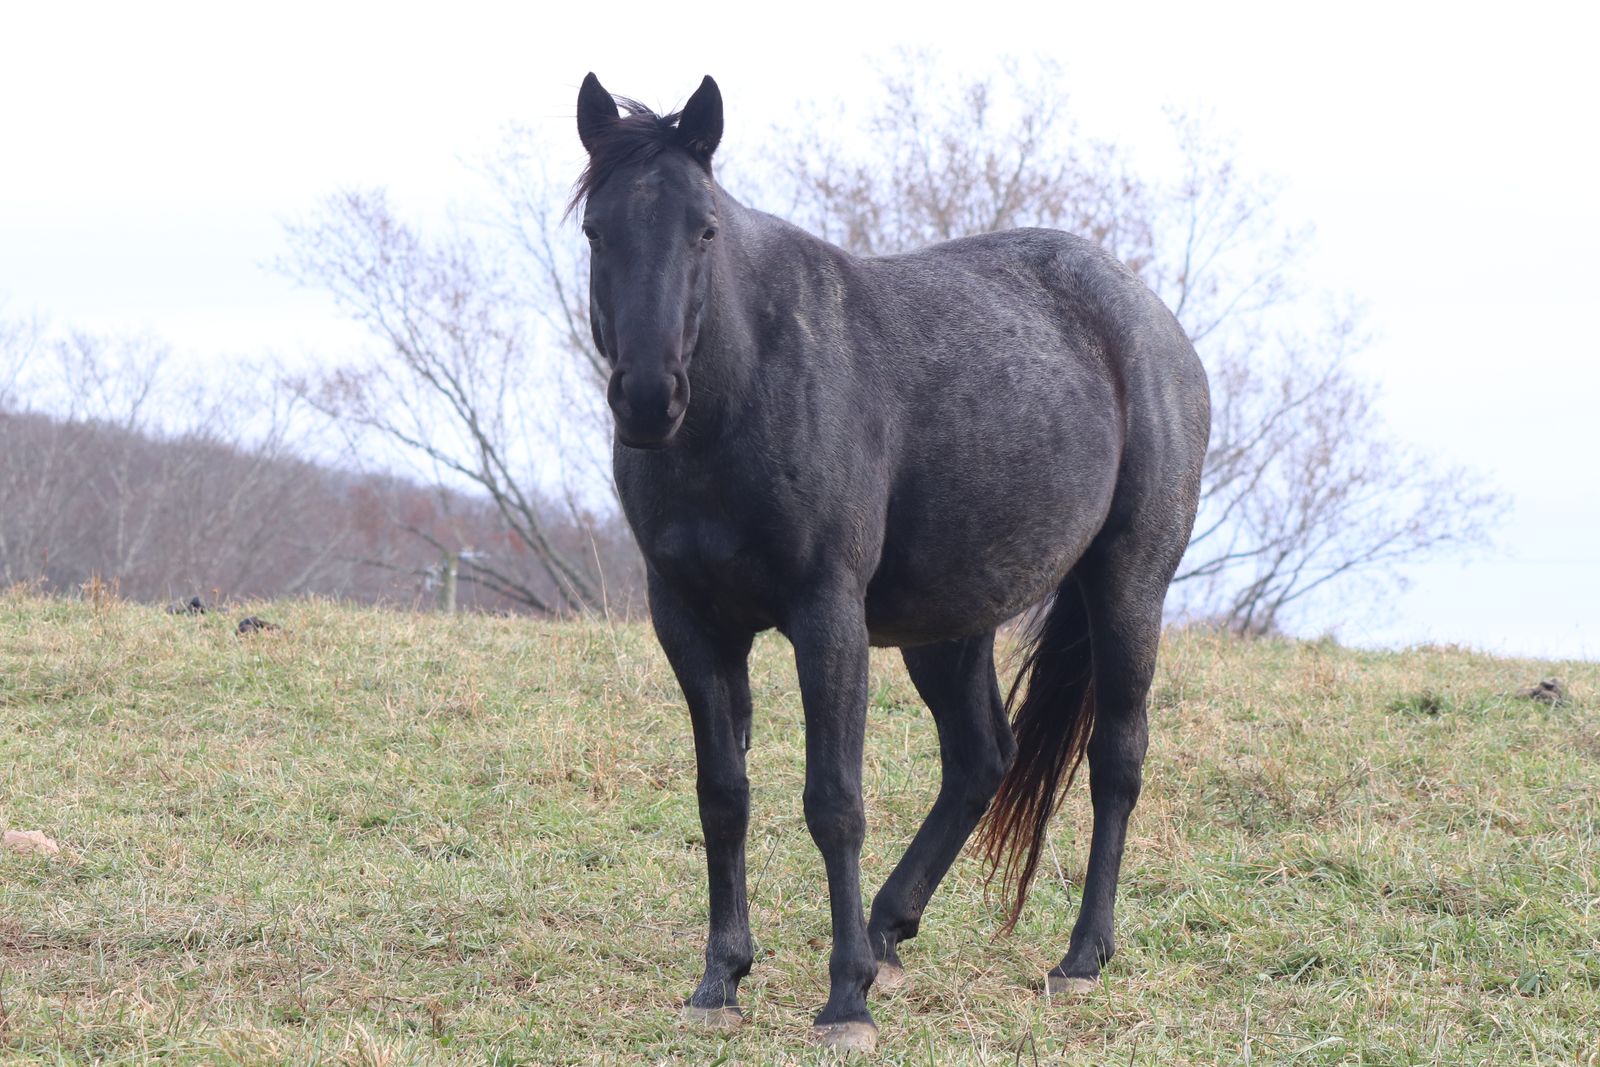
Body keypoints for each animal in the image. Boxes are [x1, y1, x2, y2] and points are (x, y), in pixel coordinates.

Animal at [571, 72, 1209, 1052]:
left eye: (704, 229)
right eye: (597, 231)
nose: (647, 396)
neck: (746, 389)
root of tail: (1152, 321)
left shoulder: (825, 616)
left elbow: (834, 800)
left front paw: (845, 1001)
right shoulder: (689, 621)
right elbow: (724, 794)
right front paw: (721, 978)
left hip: (1129, 584)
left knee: (1117, 756)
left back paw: (1078, 958)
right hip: (948, 625)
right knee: (982, 757)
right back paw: (888, 928)